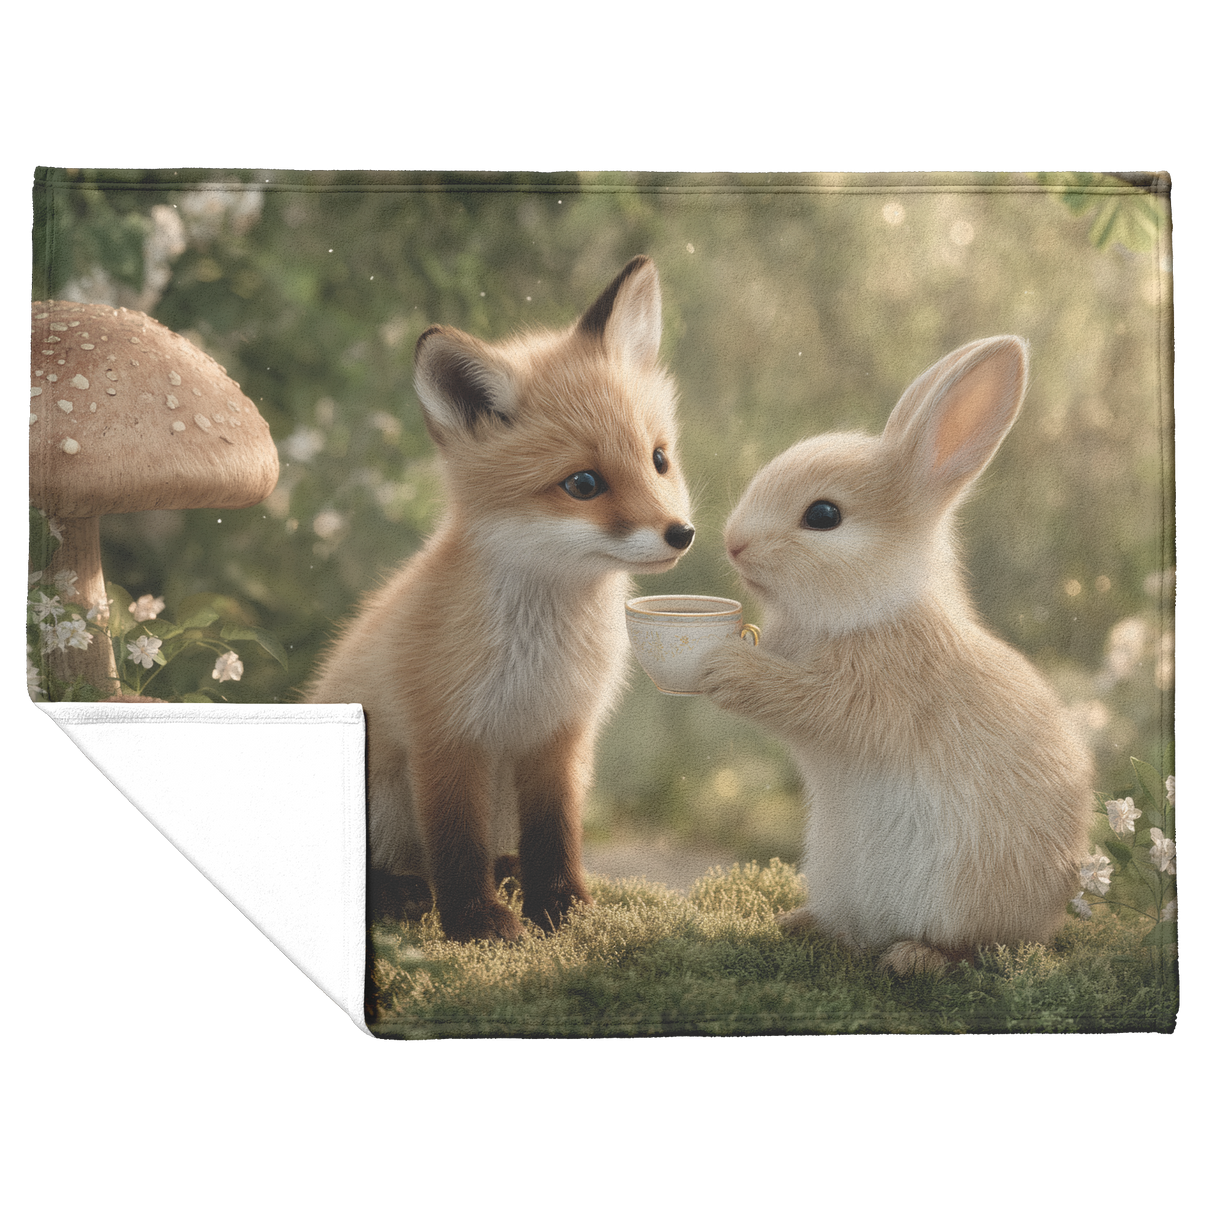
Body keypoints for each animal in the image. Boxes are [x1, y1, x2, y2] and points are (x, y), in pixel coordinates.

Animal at [305, 256, 694, 943]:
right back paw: (406, 894)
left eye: (658, 459)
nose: (682, 533)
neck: (537, 653)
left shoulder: (559, 736)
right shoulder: (447, 736)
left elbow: (555, 838)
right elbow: (457, 846)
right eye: (583, 483)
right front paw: (477, 923)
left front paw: (565, 910)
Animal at [700, 335, 1093, 974]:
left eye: (824, 515)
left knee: (970, 948)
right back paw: (798, 922)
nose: (734, 543)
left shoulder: (873, 691)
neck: (872, 606)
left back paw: (912, 957)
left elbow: (803, 700)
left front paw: (726, 669)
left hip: (964, 899)